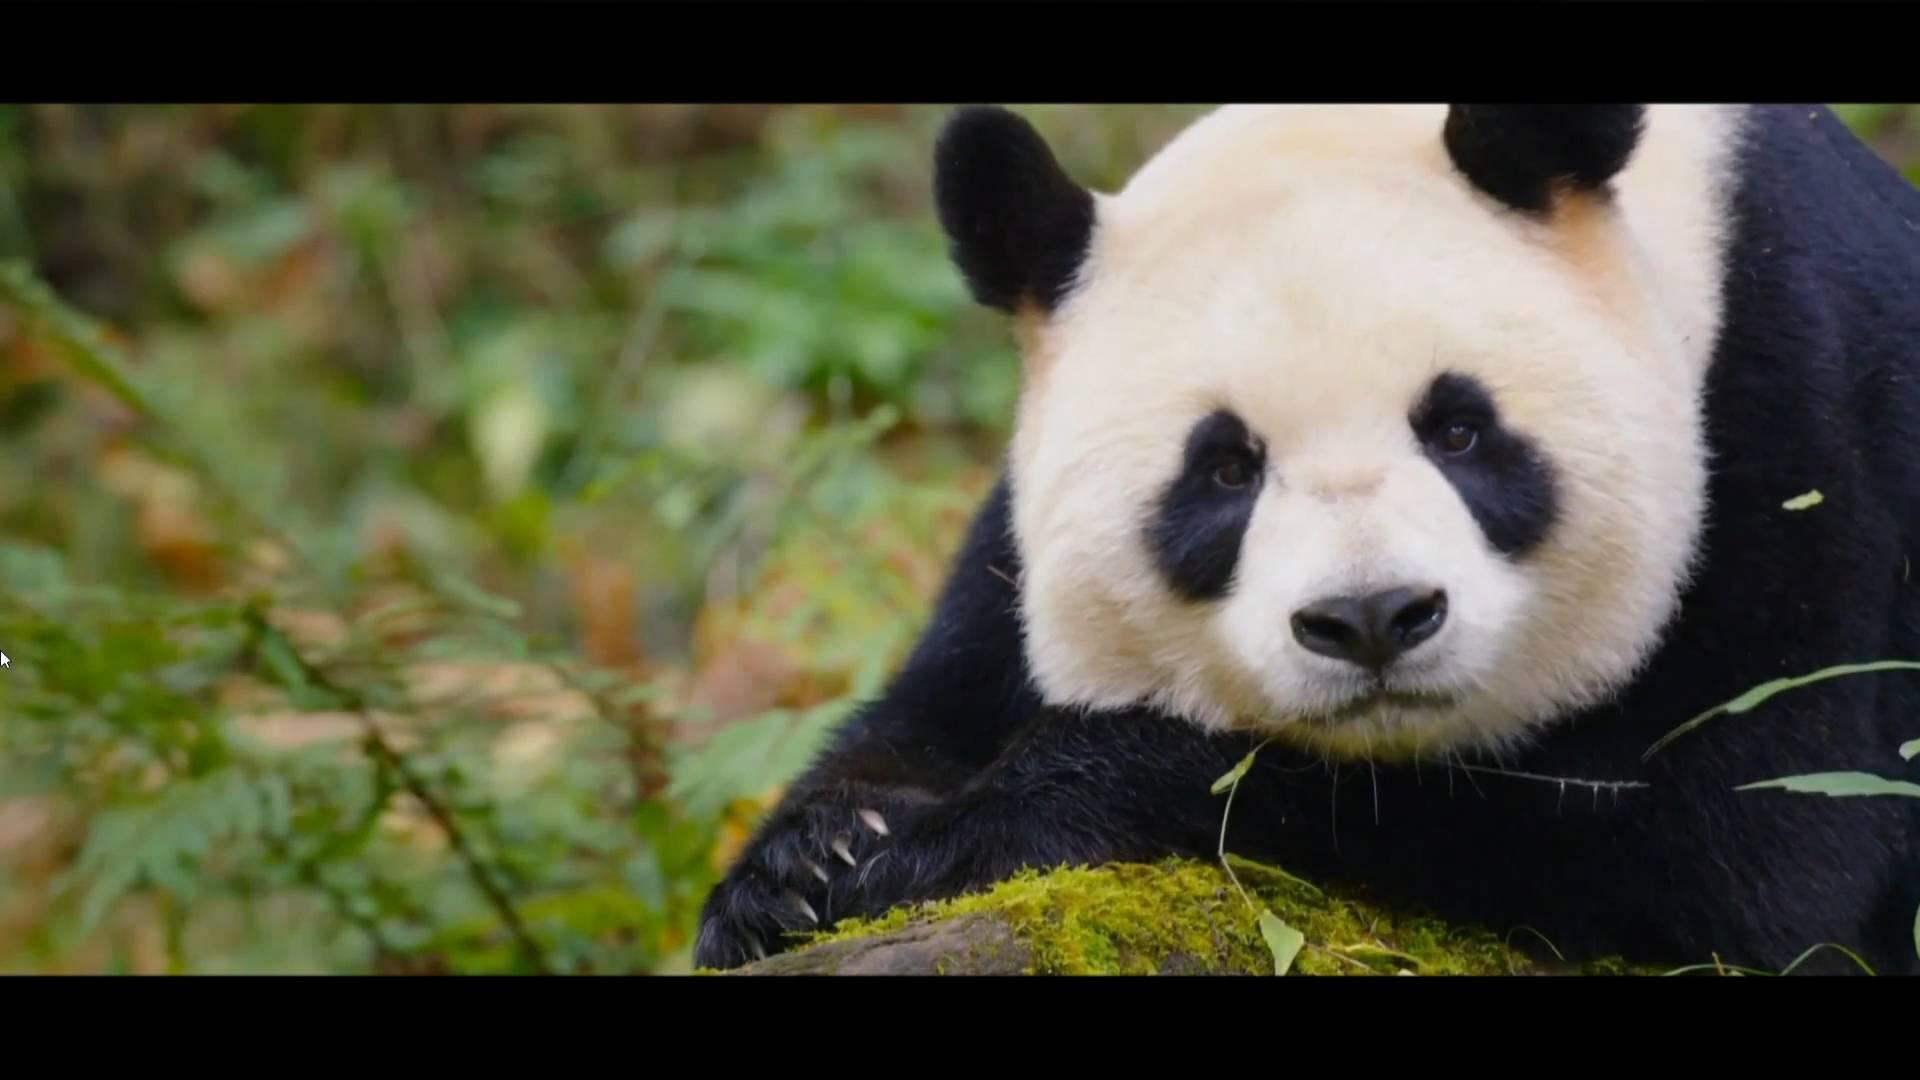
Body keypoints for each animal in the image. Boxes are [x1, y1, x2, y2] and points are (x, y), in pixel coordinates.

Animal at [693, 103, 1920, 976]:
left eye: (1459, 429)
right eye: (1226, 469)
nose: (1373, 619)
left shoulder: (1793, 437)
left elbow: (1730, 850)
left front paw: (965, 833)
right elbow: (940, 696)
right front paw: (807, 862)